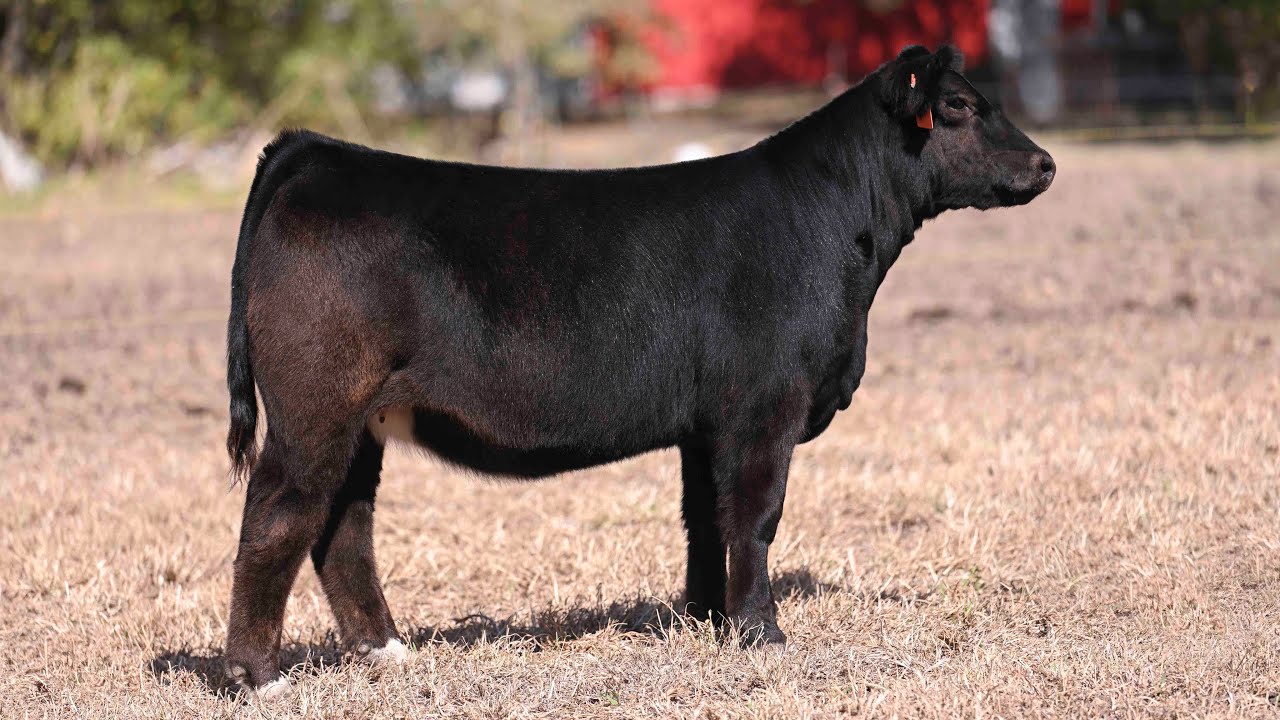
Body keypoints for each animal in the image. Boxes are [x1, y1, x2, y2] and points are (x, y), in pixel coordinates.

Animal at [222, 45, 1055, 695]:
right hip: (314, 409)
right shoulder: (765, 405)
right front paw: (761, 632)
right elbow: (756, 516)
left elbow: (705, 517)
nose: (1045, 162)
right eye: (957, 105)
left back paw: (387, 651)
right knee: (278, 517)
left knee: (341, 527)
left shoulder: (707, 423)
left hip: (359, 420)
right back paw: (258, 675)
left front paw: (707, 617)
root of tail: (319, 151)